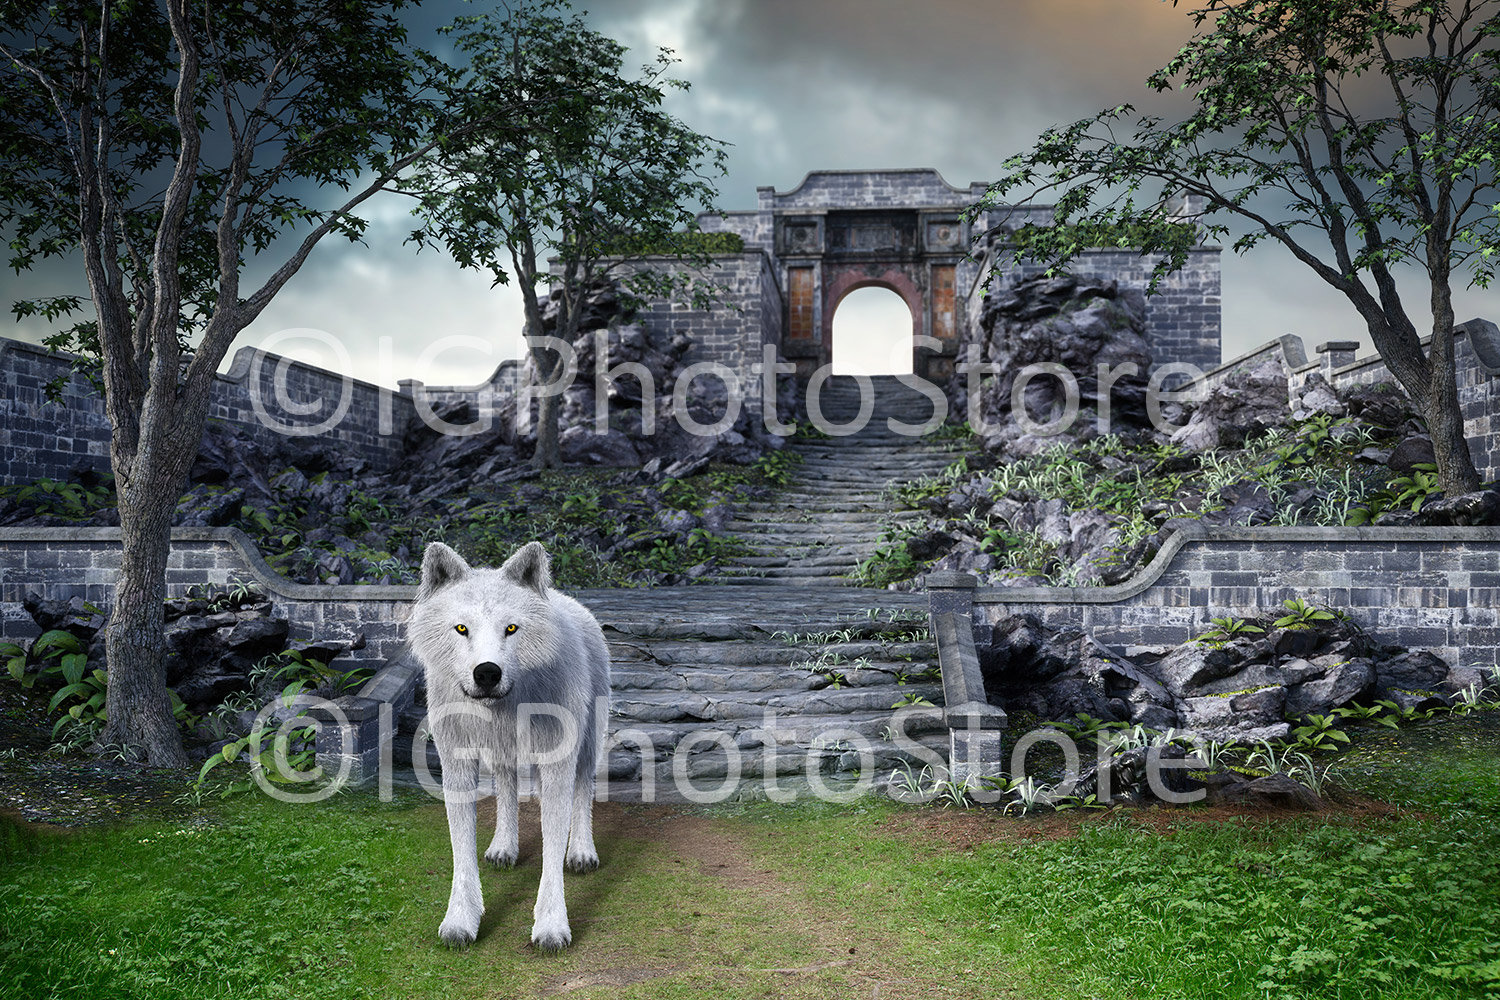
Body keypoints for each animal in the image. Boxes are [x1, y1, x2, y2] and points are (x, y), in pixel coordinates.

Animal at [407, 540, 610, 951]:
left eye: (511, 628)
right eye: (462, 628)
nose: (487, 673)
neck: (505, 707)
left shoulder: (557, 761)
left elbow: (552, 841)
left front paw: (551, 926)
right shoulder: (456, 761)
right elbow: (461, 845)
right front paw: (460, 921)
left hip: (587, 742)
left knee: (584, 787)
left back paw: (582, 852)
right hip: (501, 754)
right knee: (506, 785)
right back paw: (504, 847)